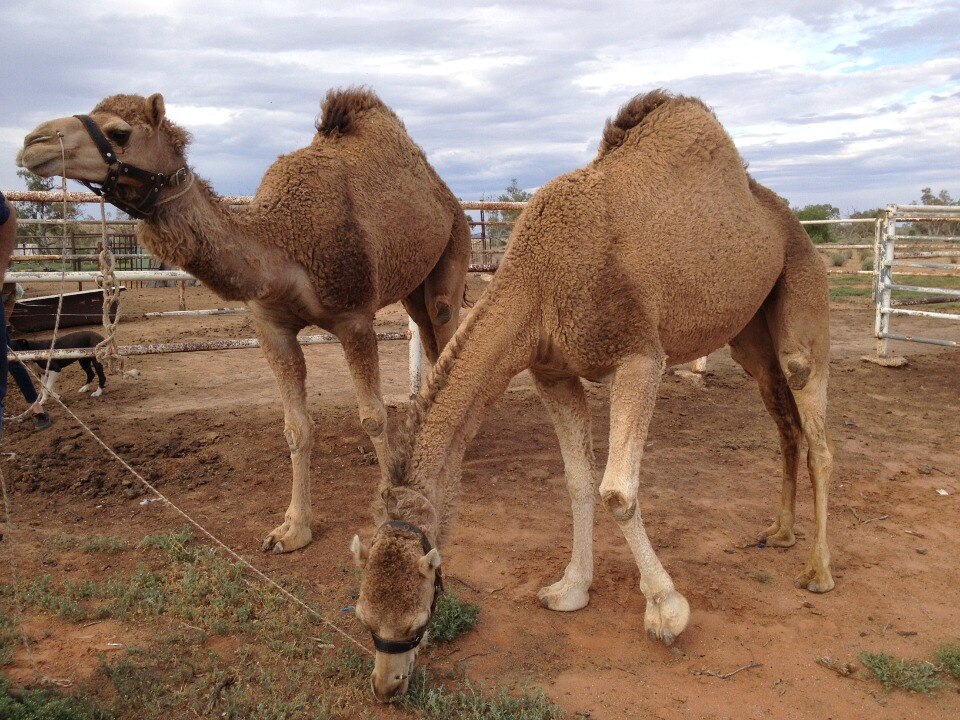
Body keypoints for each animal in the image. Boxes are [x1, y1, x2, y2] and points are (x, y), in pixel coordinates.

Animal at [18, 88, 470, 553]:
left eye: (119, 133)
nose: (34, 142)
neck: (285, 243)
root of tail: (443, 193)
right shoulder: (272, 327)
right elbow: (296, 428)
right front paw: (292, 530)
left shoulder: (355, 317)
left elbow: (373, 417)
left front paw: (391, 507)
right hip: (413, 286)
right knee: (430, 335)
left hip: (454, 246)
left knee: (445, 323)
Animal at [349, 90, 835, 701]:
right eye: (363, 615)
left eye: (417, 619)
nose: (386, 686)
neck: (538, 279)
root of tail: (787, 220)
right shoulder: (552, 372)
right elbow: (578, 481)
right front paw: (570, 590)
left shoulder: (639, 357)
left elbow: (616, 491)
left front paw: (667, 611)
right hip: (750, 335)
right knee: (785, 423)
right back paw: (781, 531)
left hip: (801, 295)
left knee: (815, 421)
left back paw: (819, 571)